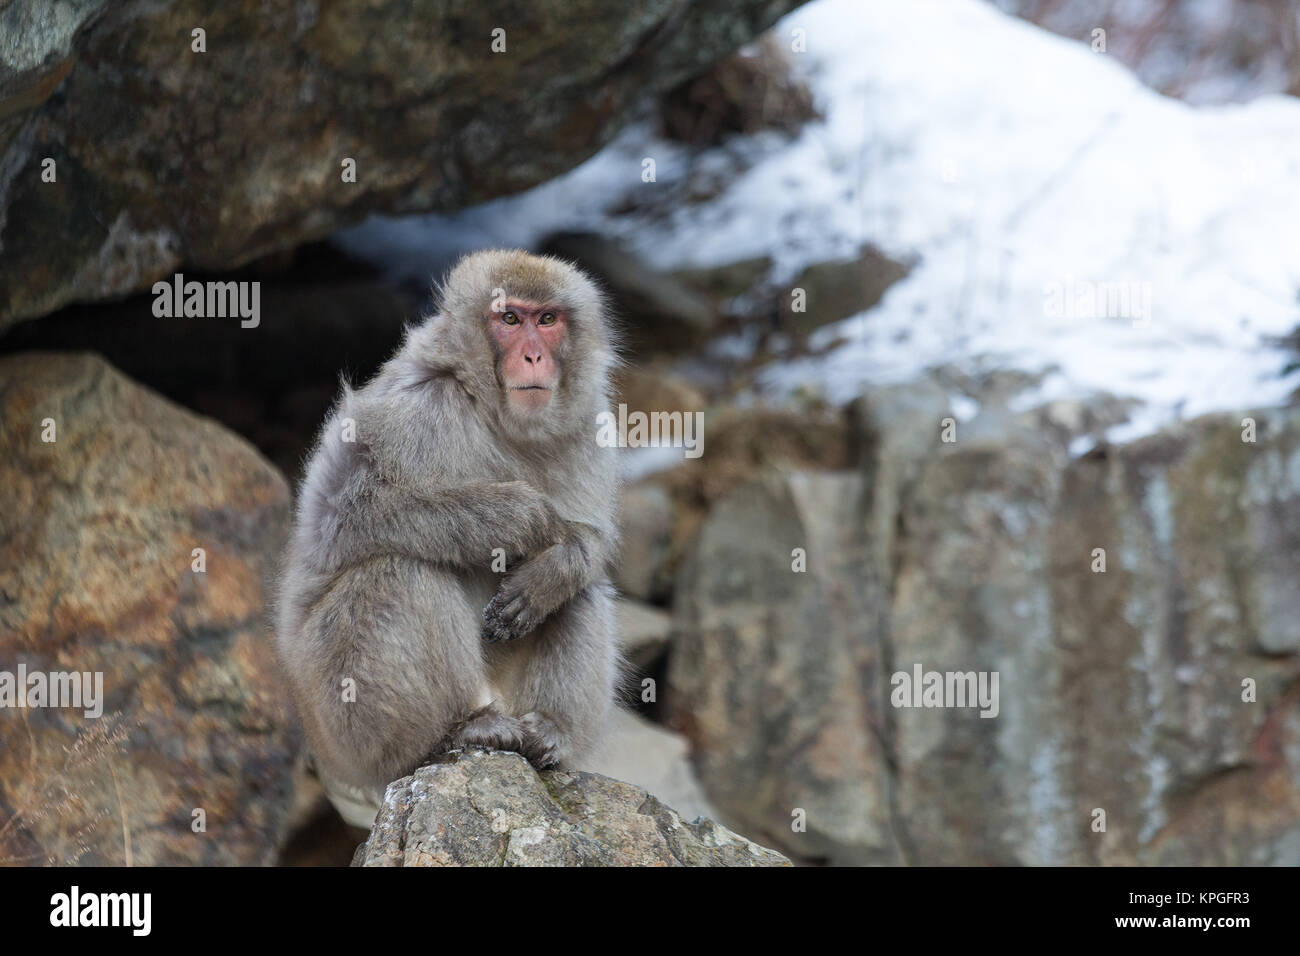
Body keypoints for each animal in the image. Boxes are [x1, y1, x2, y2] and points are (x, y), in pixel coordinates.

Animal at [274, 249, 622, 809]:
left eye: (547, 319)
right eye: (510, 319)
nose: (533, 357)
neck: (494, 415)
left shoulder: (590, 427)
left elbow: (589, 540)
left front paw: (554, 569)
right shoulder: (418, 409)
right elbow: (344, 516)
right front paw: (516, 514)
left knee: (583, 591)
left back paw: (548, 730)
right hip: (340, 723)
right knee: (395, 573)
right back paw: (458, 728)